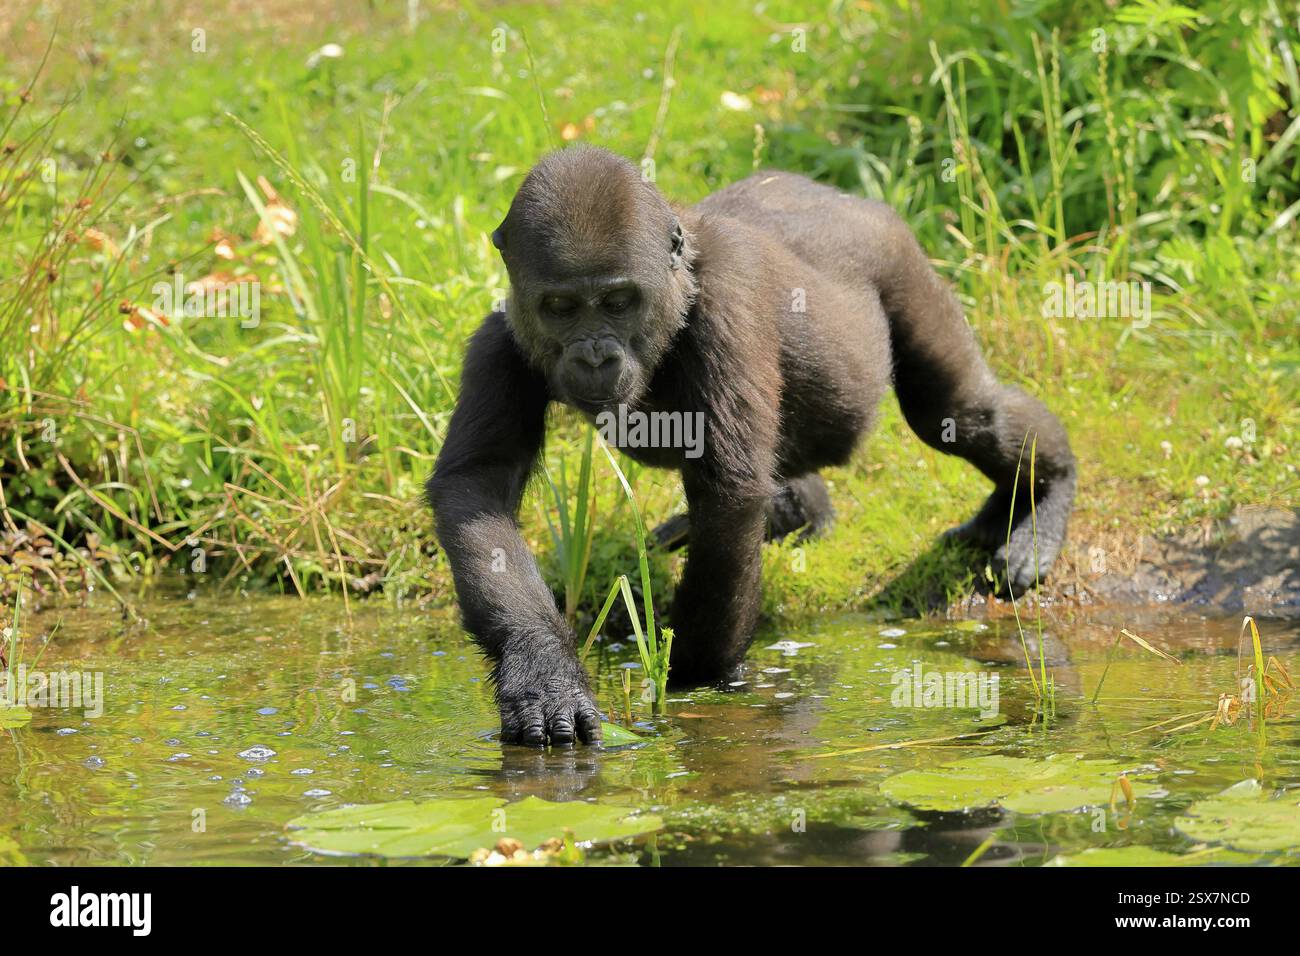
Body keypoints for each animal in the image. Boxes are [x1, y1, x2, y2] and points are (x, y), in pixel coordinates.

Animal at [427, 146, 1076, 747]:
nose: (593, 356)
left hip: (895, 253)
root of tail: (835, 193)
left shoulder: (727, 310)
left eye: (618, 301)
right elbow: (477, 487)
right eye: (560, 307)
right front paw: (541, 668)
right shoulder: (500, 334)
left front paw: (690, 680)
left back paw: (1045, 500)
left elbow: (729, 496)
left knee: (957, 412)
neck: (681, 282)